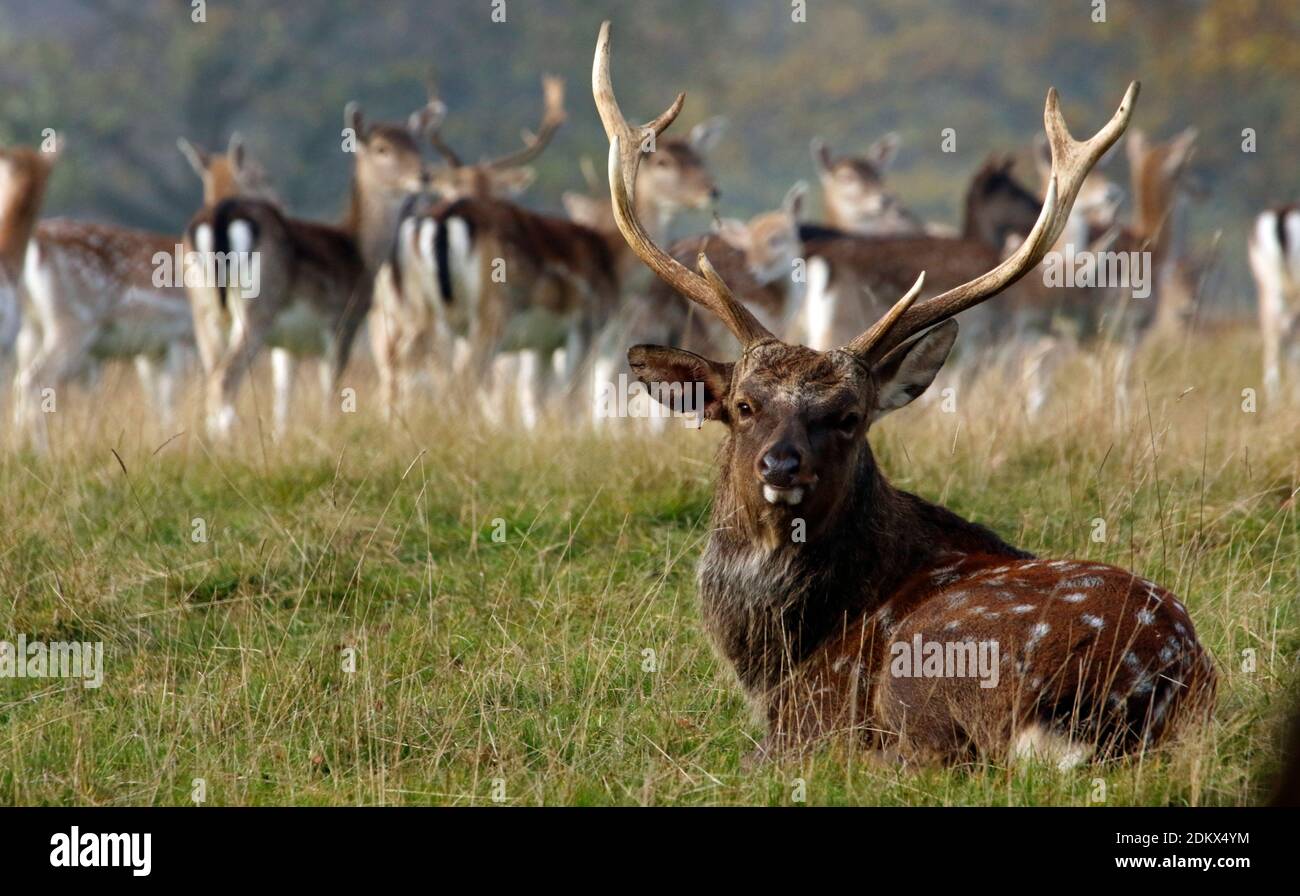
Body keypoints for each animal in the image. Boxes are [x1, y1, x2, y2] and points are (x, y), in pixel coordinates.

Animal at [188, 100, 436, 439]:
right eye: (382, 148)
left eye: (415, 143)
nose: (423, 174)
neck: (360, 251)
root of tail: (220, 216)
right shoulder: (343, 320)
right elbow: (331, 388)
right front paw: (329, 431)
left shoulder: (288, 344)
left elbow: (283, 397)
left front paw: (280, 439)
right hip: (256, 305)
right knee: (225, 377)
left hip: (204, 310)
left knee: (213, 373)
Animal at [595, 21, 1214, 764]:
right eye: (744, 407)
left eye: (848, 416)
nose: (781, 464)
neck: (772, 660)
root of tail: (1142, 688)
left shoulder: (801, 720)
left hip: (924, 667)